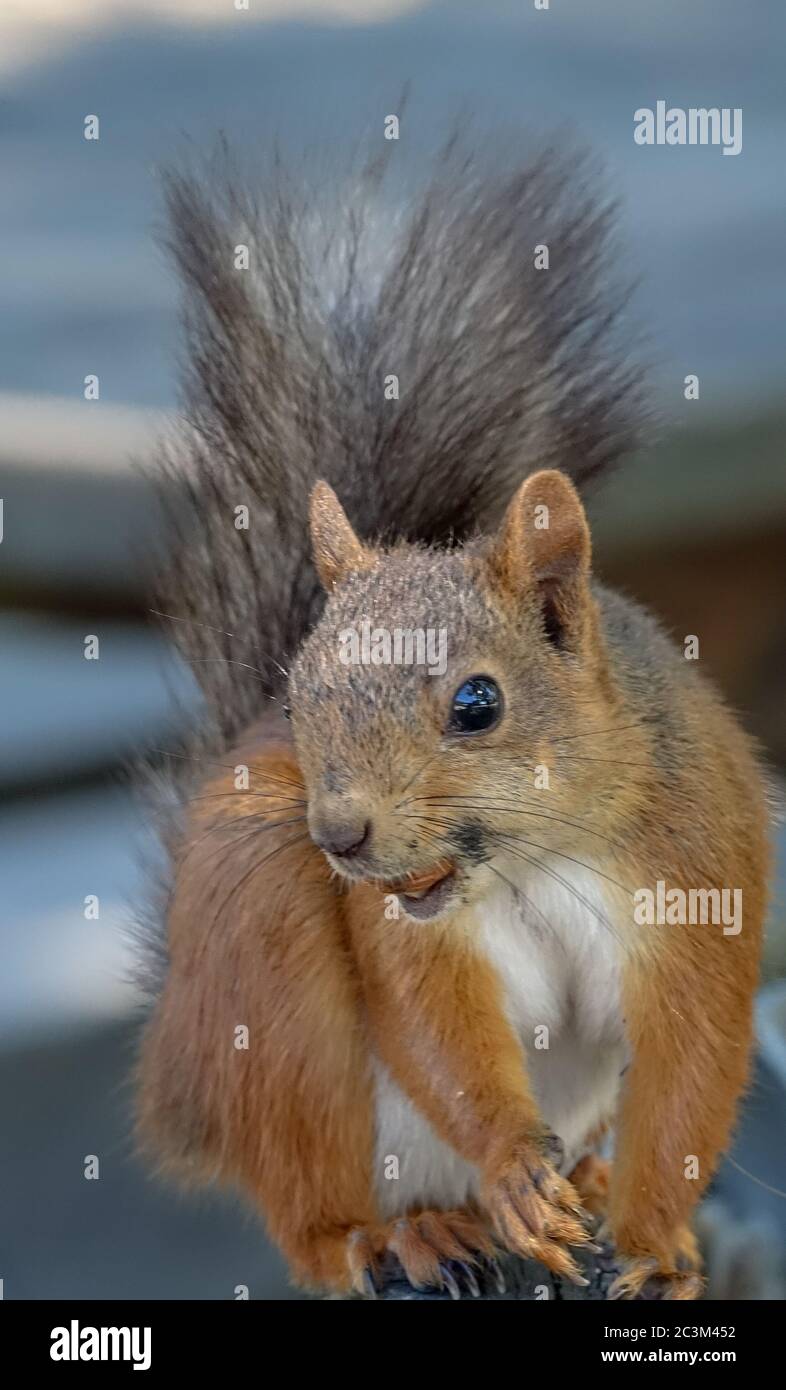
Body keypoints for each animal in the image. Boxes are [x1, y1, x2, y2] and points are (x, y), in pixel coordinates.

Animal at [135, 140, 771, 1301]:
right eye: (295, 695)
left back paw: (580, 1181)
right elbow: (437, 1029)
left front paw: (656, 1244)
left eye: (478, 703)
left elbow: (692, 1067)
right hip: (264, 961)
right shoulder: (412, 936)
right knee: (313, 1208)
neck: (536, 856)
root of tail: (181, 1075)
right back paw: (401, 1232)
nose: (341, 836)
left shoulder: (700, 870)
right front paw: (516, 1166)